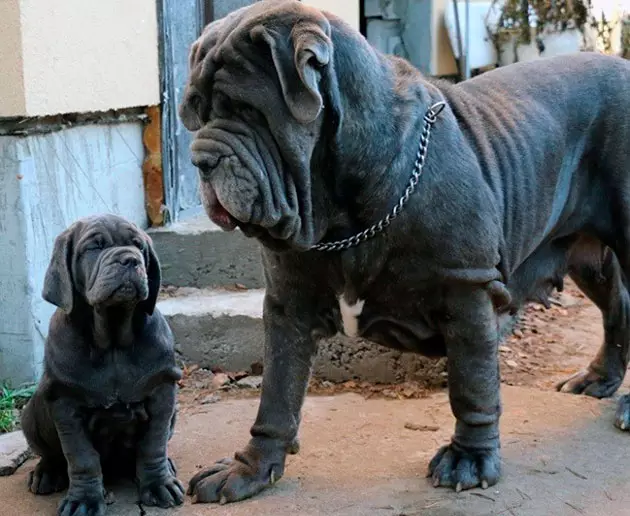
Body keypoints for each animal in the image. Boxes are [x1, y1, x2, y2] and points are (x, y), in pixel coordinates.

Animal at [21, 215, 185, 516]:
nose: (129, 259)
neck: (112, 342)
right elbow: (81, 457)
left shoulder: (162, 391)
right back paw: (47, 472)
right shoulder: (65, 402)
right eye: (94, 247)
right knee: (52, 454)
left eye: (139, 246)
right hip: (33, 410)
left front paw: (159, 484)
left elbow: (153, 445)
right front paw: (83, 500)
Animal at [178, 0, 630, 504]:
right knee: (617, 308)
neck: (341, 214)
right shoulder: (287, 302)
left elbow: (472, 383)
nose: (200, 158)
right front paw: (250, 468)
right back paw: (599, 378)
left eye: (248, 111)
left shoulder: (465, 291)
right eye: (194, 115)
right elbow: (277, 391)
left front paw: (470, 458)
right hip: (589, 257)